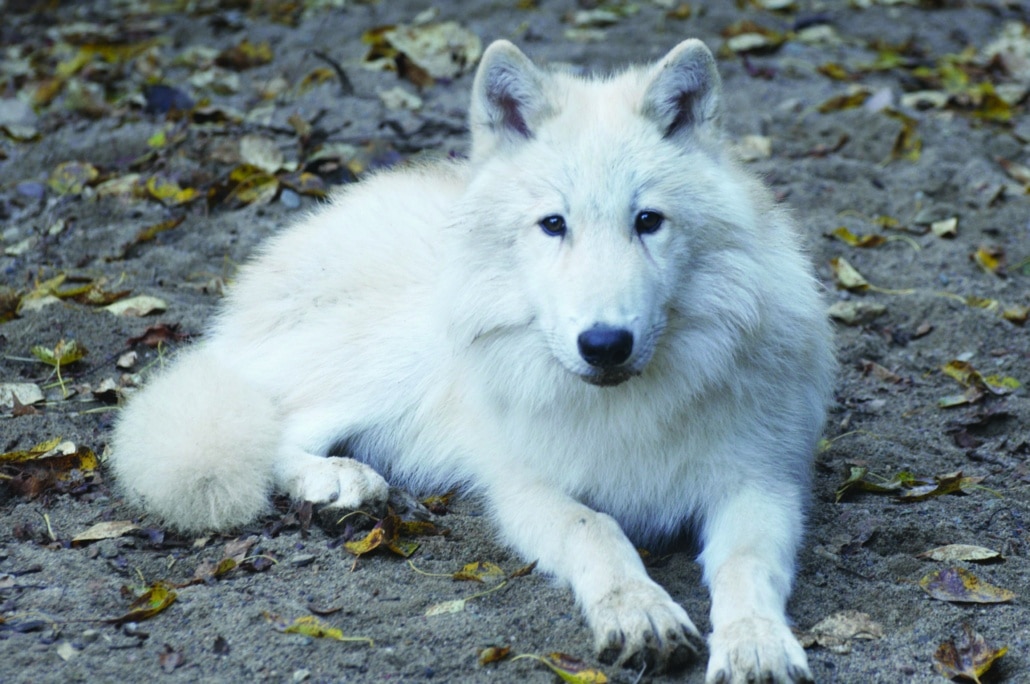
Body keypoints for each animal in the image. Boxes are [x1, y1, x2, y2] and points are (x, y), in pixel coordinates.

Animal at [110, 39, 834, 683]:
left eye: (648, 221)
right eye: (553, 224)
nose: (604, 343)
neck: (626, 405)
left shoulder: (763, 484)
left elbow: (745, 565)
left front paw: (756, 643)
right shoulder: (525, 488)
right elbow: (596, 529)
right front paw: (640, 613)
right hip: (403, 351)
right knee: (279, 427)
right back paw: (342, 482)